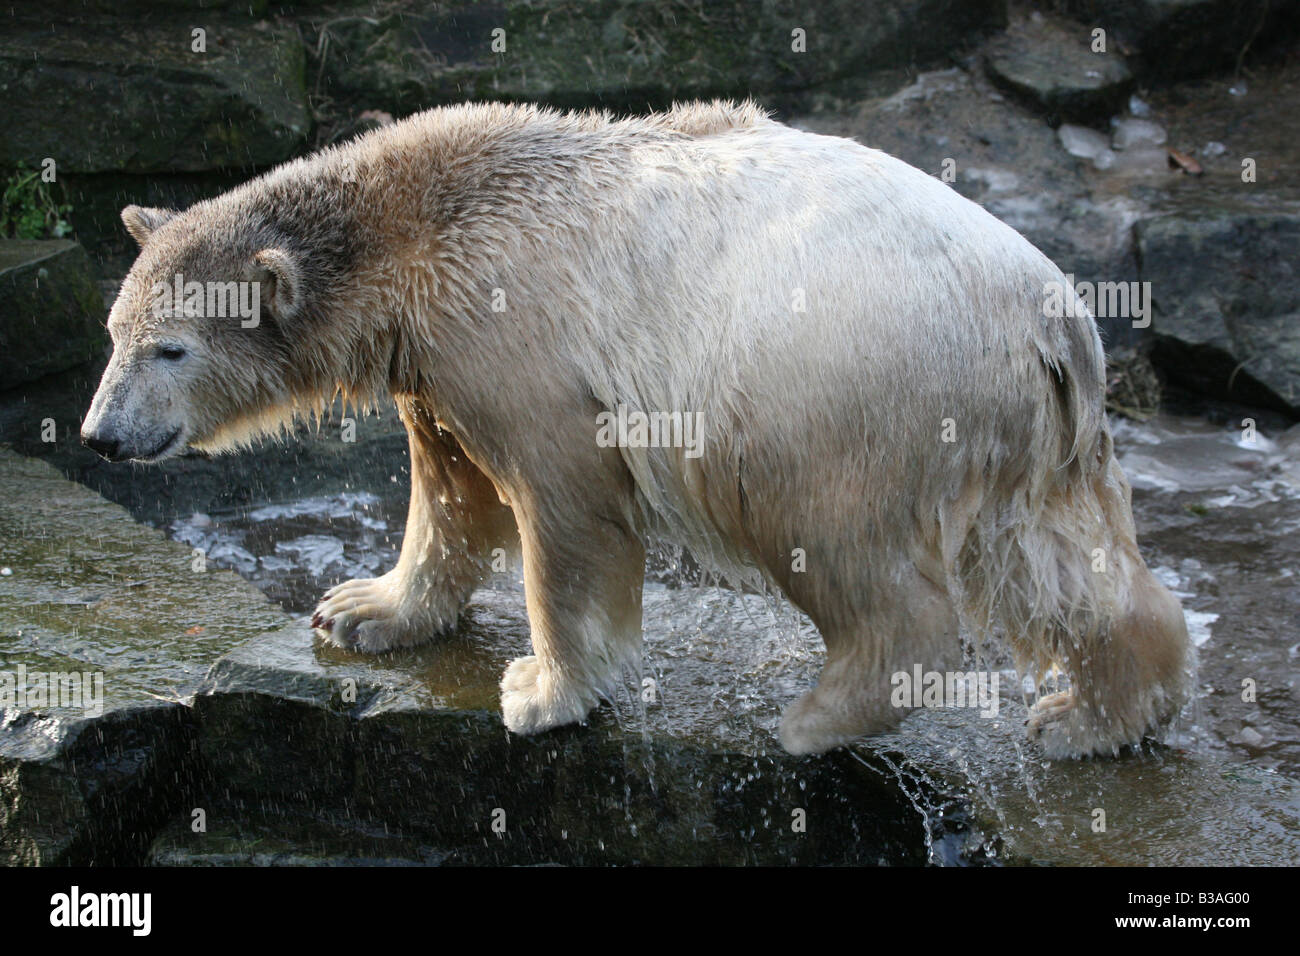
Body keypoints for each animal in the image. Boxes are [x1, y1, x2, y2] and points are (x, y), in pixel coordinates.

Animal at [80, 100, 1189, 758]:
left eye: (170, 349)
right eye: (113, 331)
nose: (99, 433)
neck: (418, 221)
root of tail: (1051, 317)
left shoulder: (519, 338)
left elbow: (558, 508)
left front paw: (541, 688)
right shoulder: (434, 356)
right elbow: (446, 488)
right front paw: (361, 609)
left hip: (840, 389)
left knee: (840, 544)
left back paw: (816, 717)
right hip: (1023, 425)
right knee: (1054, 557)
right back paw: (1093, 712)